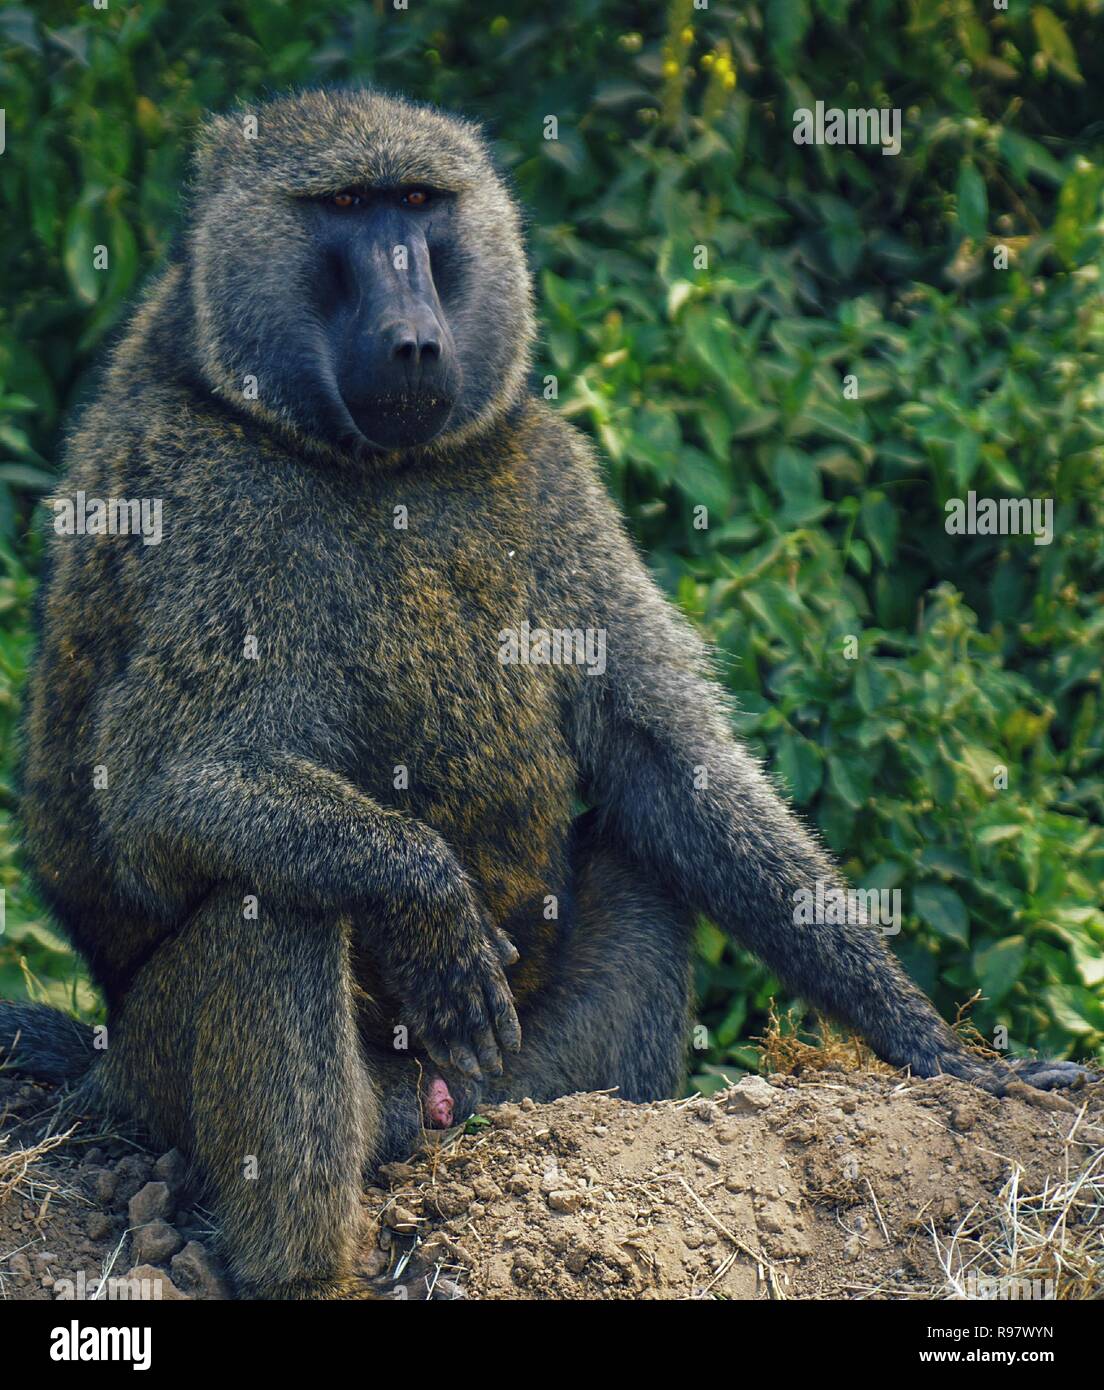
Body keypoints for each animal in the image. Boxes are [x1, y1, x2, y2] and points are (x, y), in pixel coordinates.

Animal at [0, 89, 1092, 1299]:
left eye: (418, 202)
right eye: (345, 206)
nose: (415, 333)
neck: (381, 468)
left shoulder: (552, 472)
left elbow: (672, 763)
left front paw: (936, 1048)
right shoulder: (210, 506)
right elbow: (157, 790)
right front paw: (423, 891)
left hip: (526, 1081)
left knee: (640, 867)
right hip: (156, 1078)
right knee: (273, 907)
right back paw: (304, 1267)